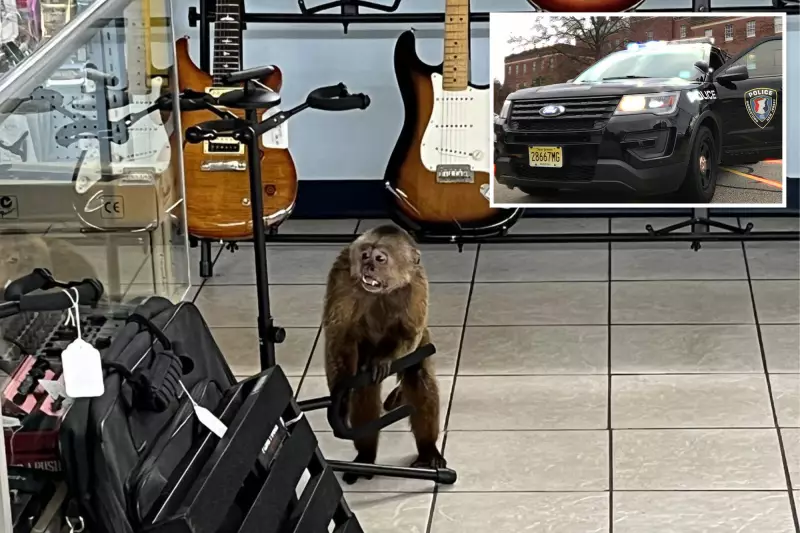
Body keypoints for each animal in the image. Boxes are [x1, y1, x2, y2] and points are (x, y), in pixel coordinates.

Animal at [322, 224, 446, 484]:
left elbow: (410, 334)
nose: (369, 266)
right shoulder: (342, 277)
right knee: (364, 387)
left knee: (418, 372)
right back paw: (366, 456)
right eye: (365, 256)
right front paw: (340, 403)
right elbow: (338, 339)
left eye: (380, 259)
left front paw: (383, 362)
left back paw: (428, 451)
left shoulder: (416, 282)